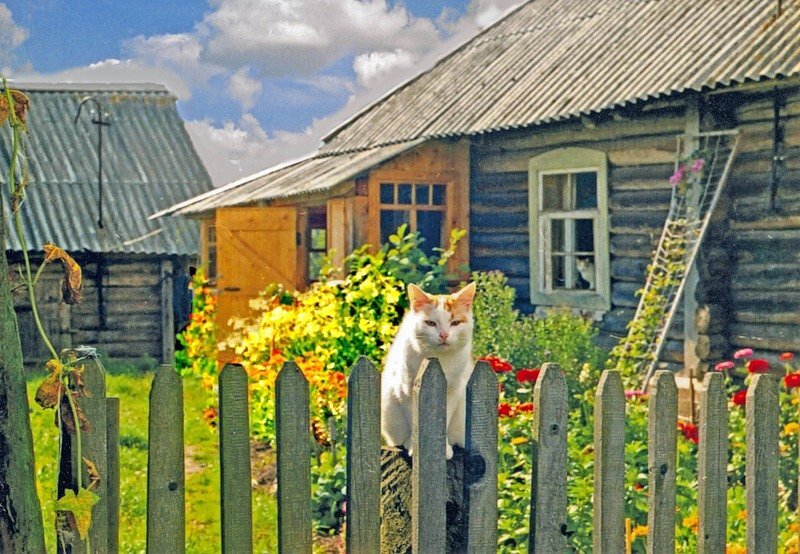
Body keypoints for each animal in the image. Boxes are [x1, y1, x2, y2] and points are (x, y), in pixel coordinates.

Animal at [382, 280, 476, 458]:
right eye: (431, 323)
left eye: (455, 323)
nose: (444, 335)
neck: (439, 359)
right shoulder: (405, 391)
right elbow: (413, 421)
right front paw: (414, 447)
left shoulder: (453, 392)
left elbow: (444, 420)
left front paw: (444, 449)